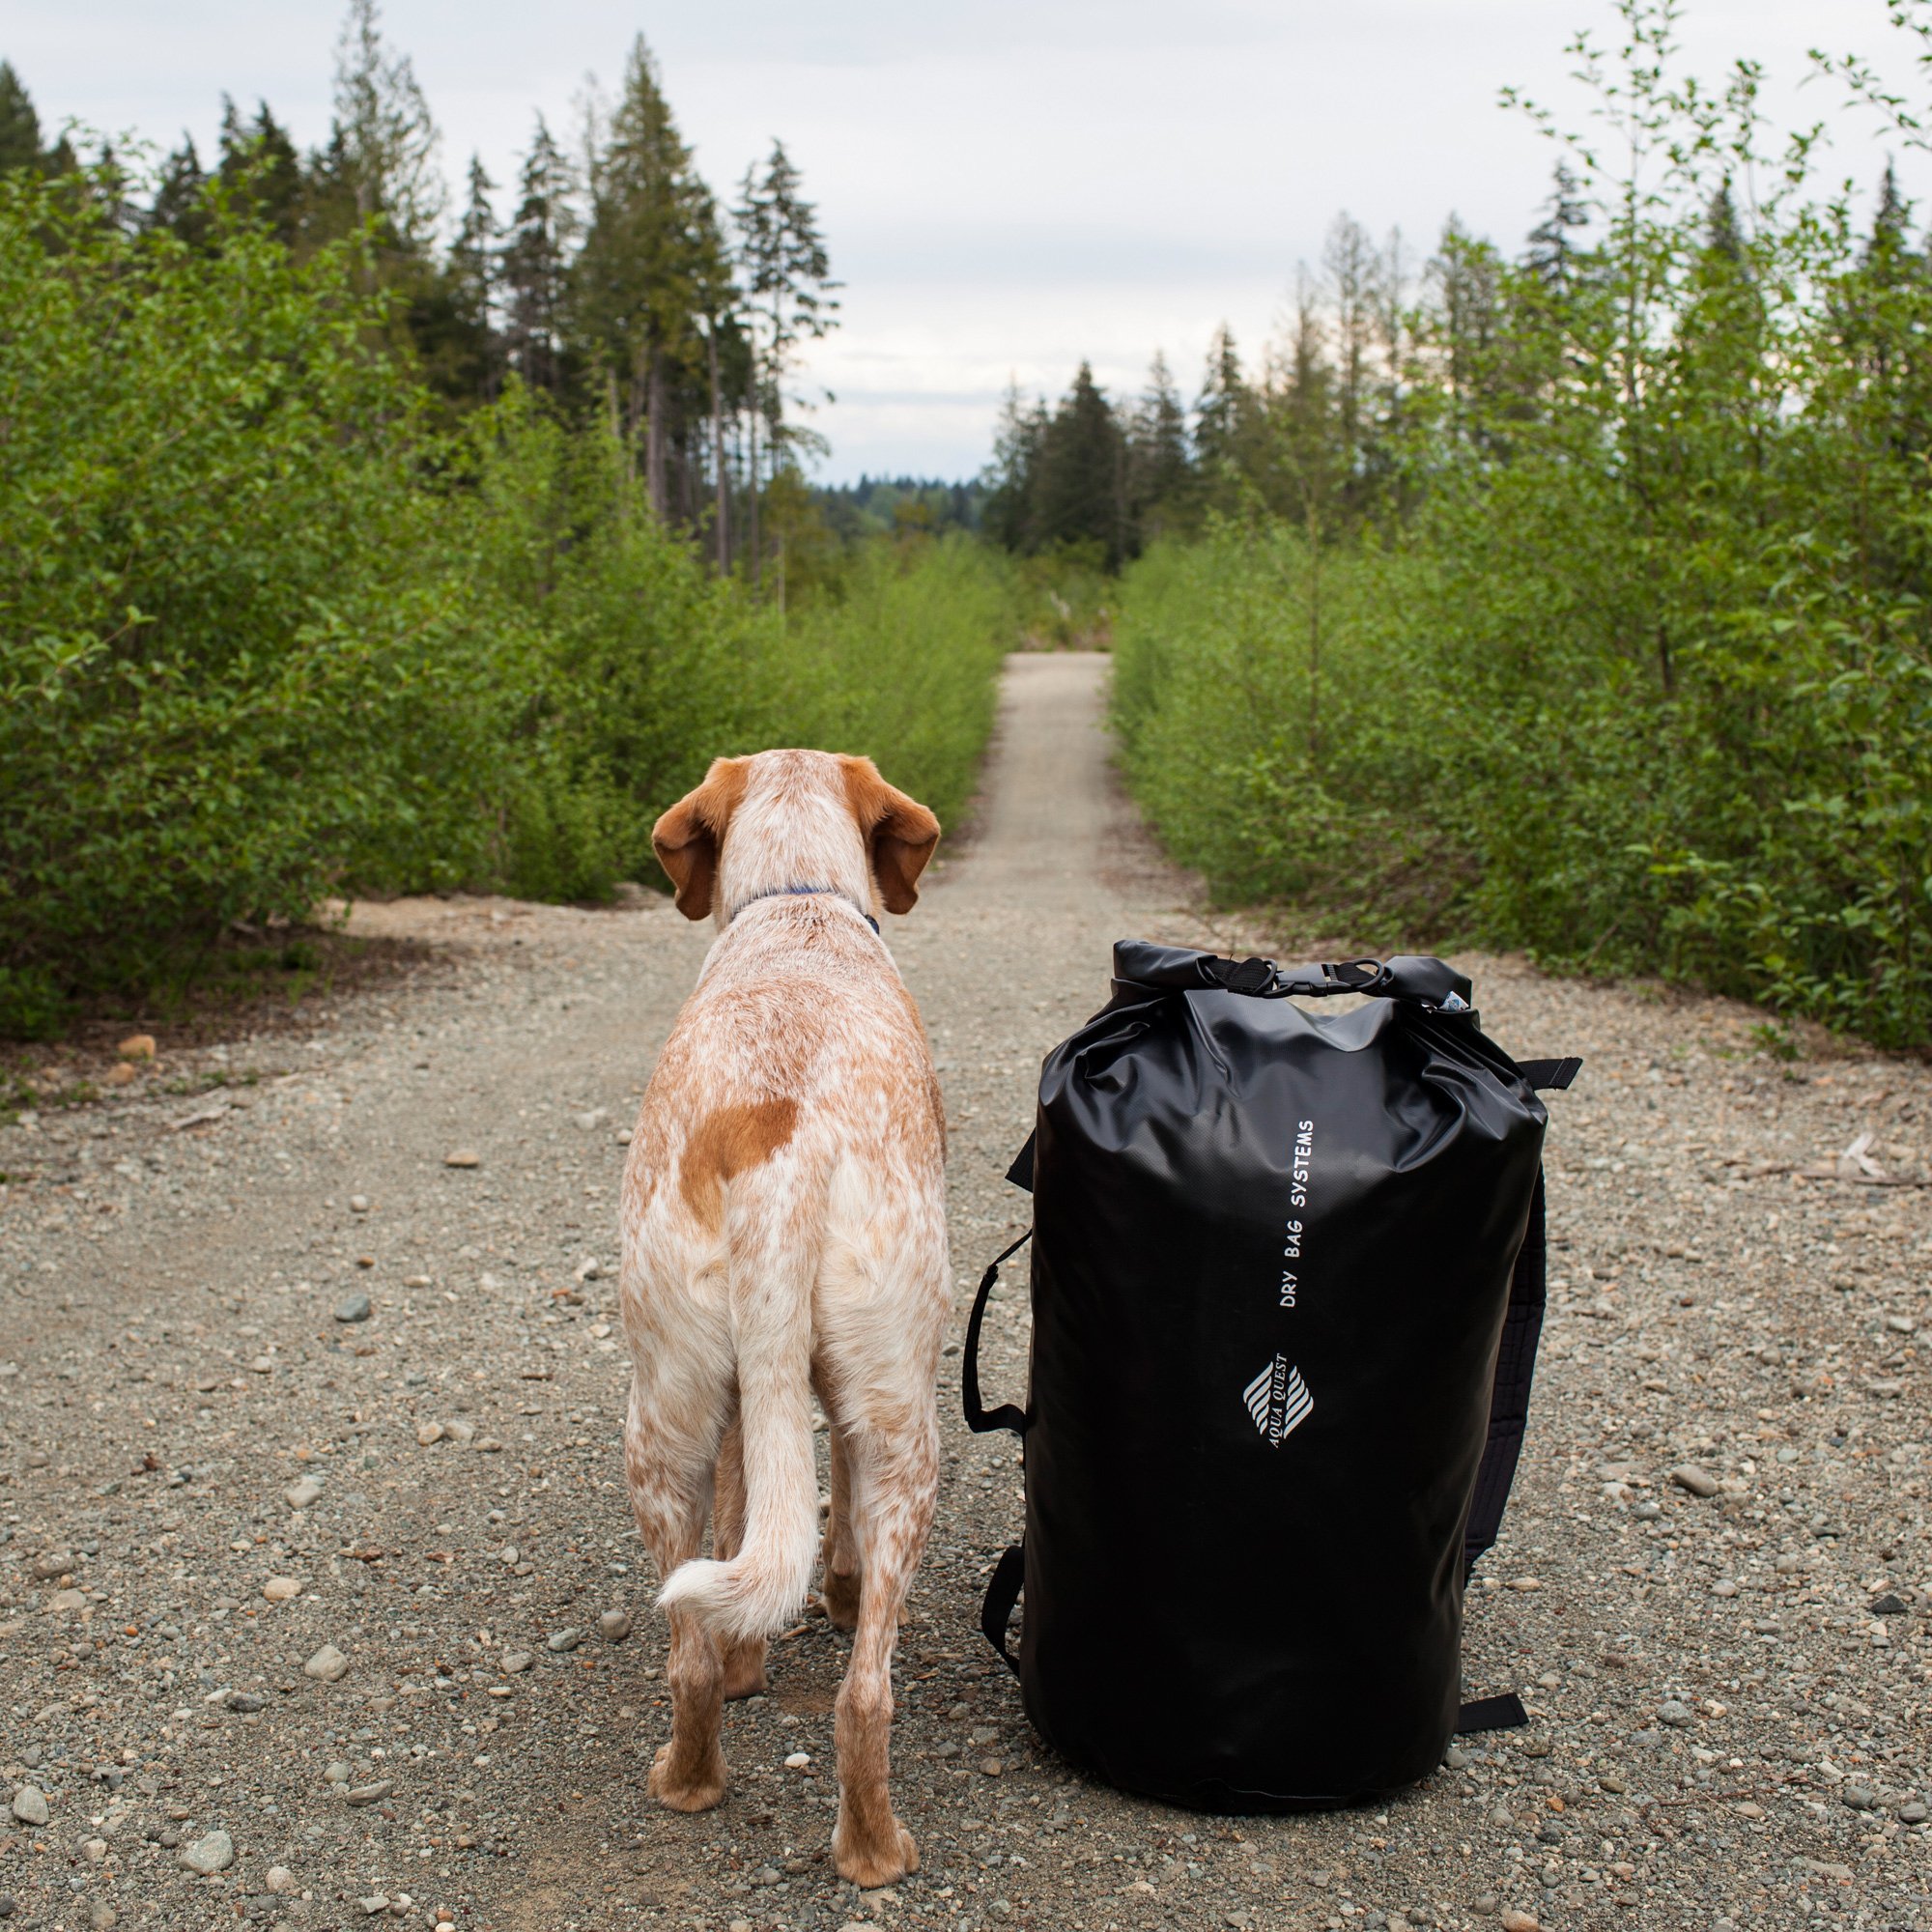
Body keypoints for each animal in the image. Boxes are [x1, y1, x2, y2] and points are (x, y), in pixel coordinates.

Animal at [622, 750, 947, 1886]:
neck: (796, 906)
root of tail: (778, 1146)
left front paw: (750, 1660)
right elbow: (829, 1523)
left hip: (664, 1419)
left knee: (693, 1659)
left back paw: (698, 1784)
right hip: (906, 1436)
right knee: (864, 1692)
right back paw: (870, 1848)